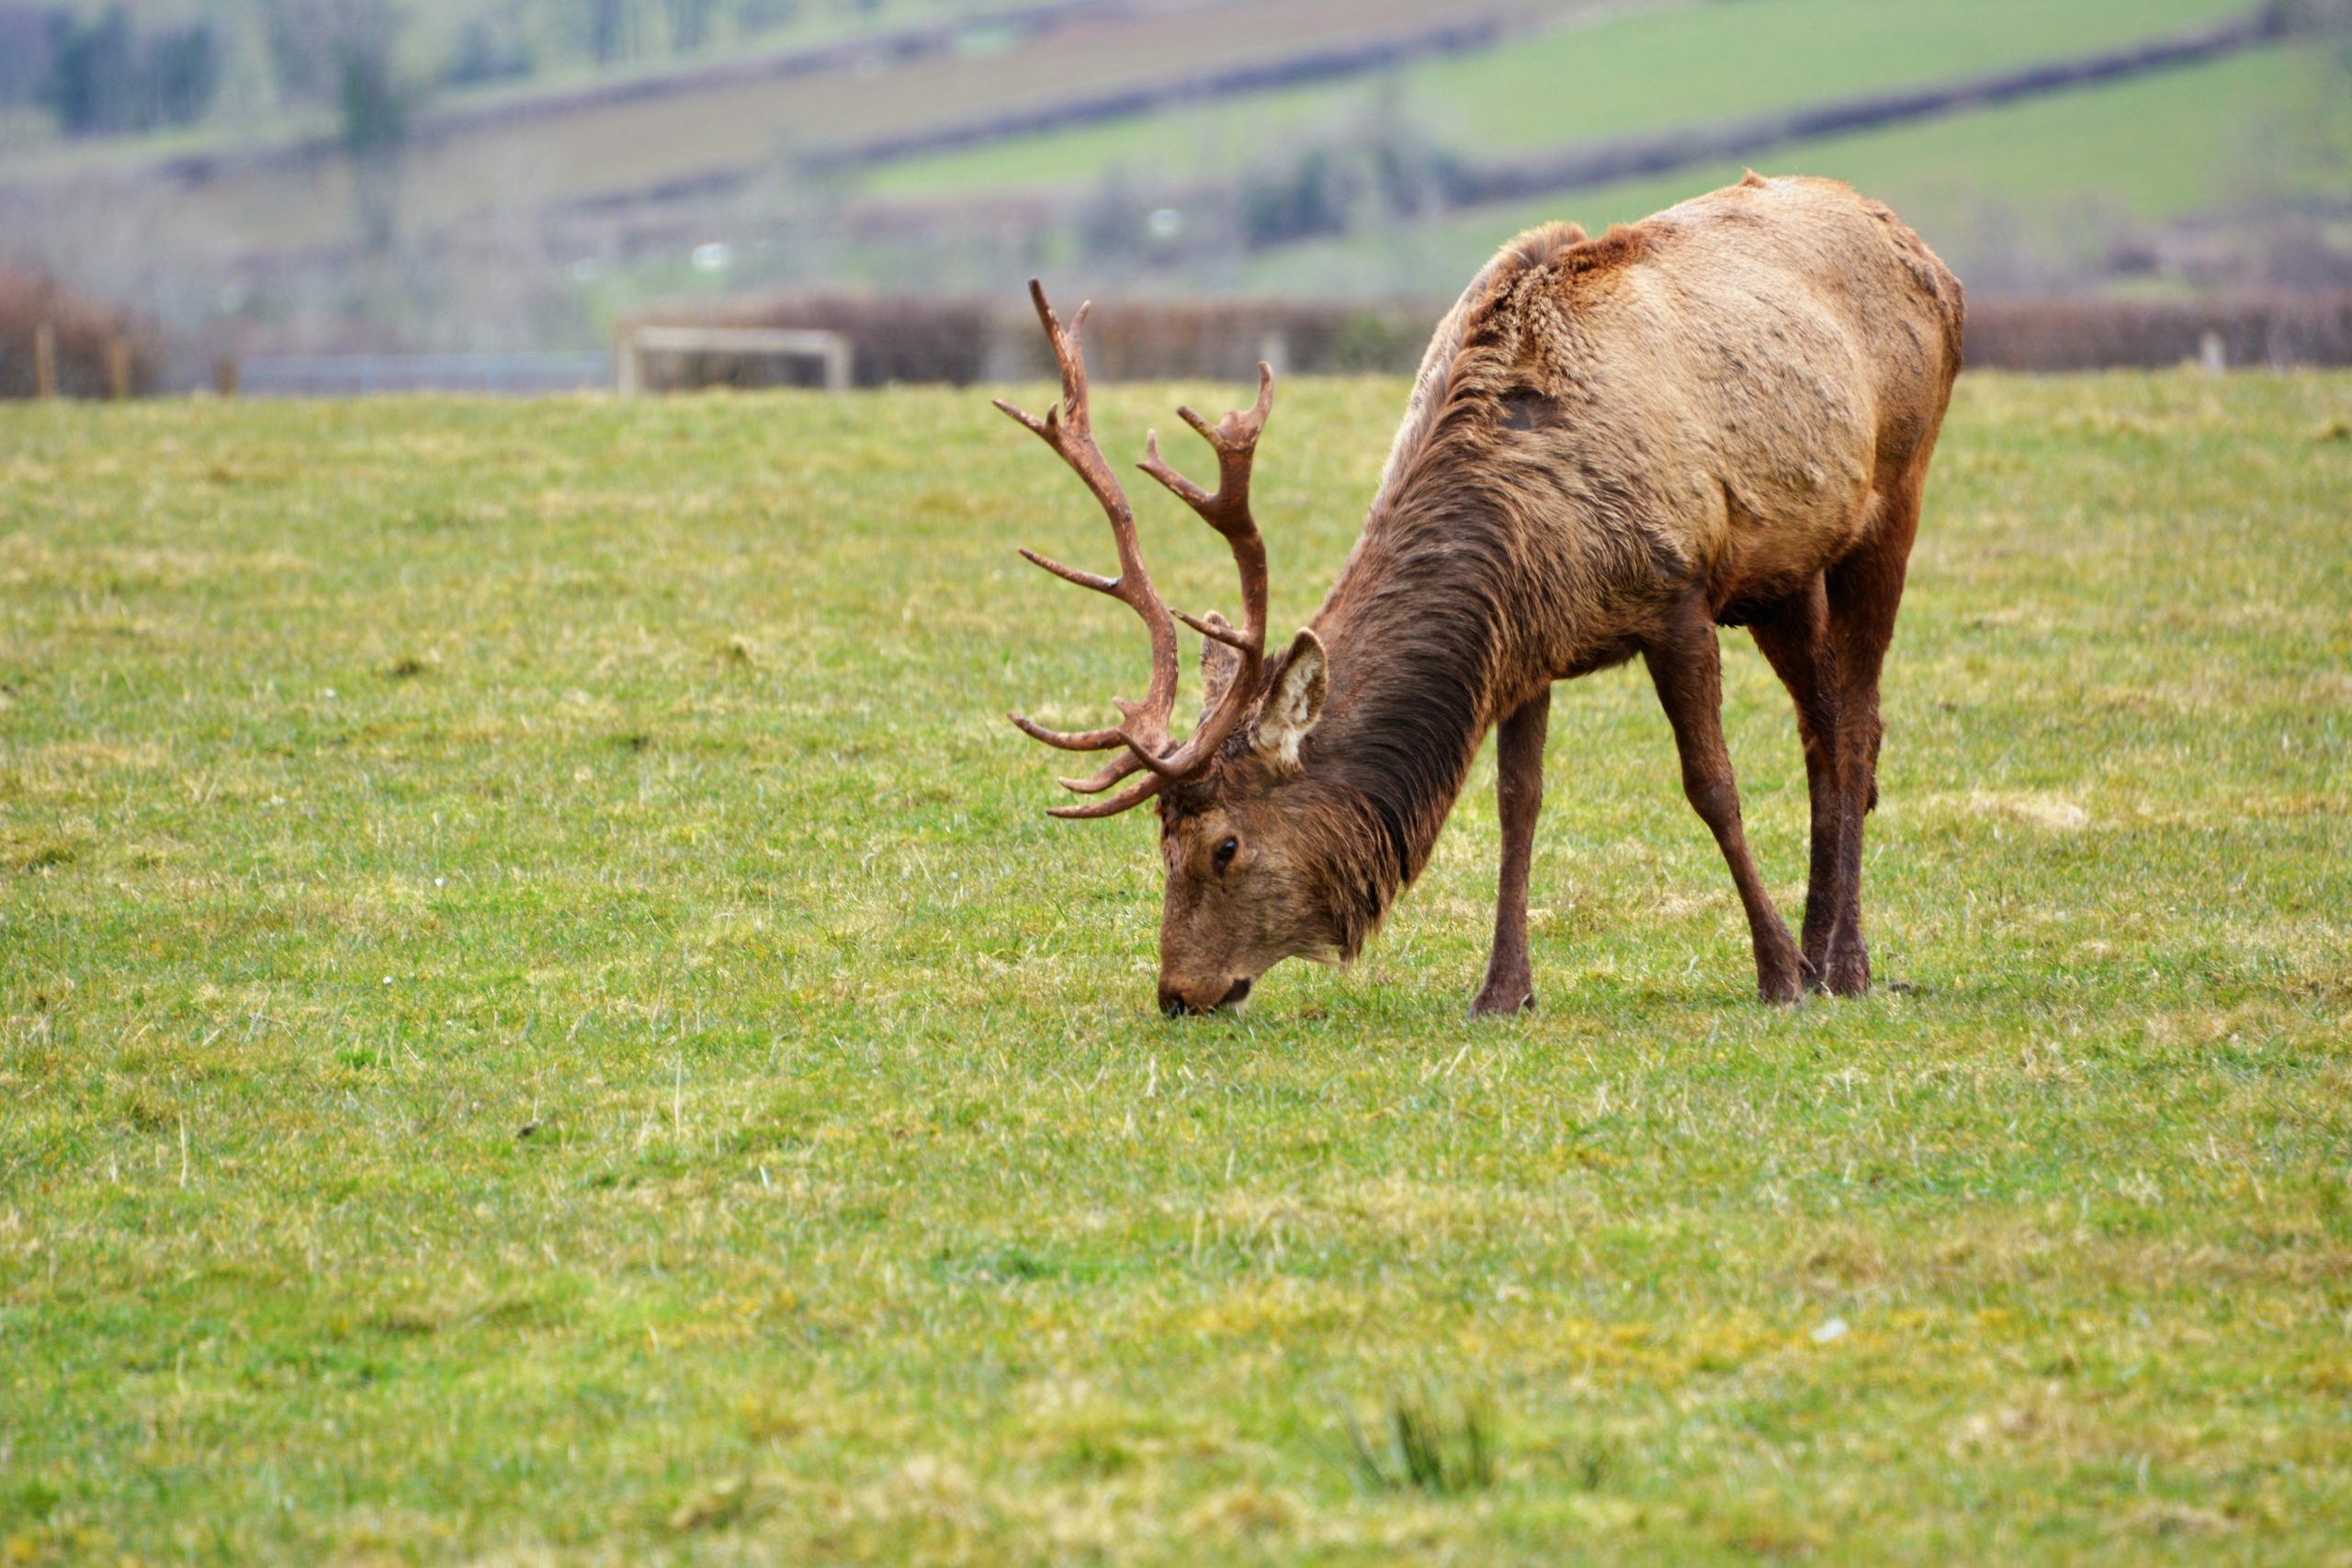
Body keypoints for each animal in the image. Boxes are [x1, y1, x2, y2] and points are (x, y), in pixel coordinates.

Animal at [994, 173, 1964, 1018]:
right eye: (1158, 837)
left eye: (1224, 844)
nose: (1179, 992)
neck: (1534, 532)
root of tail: (1931, 258)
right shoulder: (1529, 644)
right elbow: (1515, 805)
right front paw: (1503, 990)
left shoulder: (1679, 591)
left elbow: (1711, 784)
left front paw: (1775, 971)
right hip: (1782, 573)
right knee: (1823, 726)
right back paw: (1826, 945)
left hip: (1896, 491)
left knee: (1857, 721)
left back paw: (1841, 963)